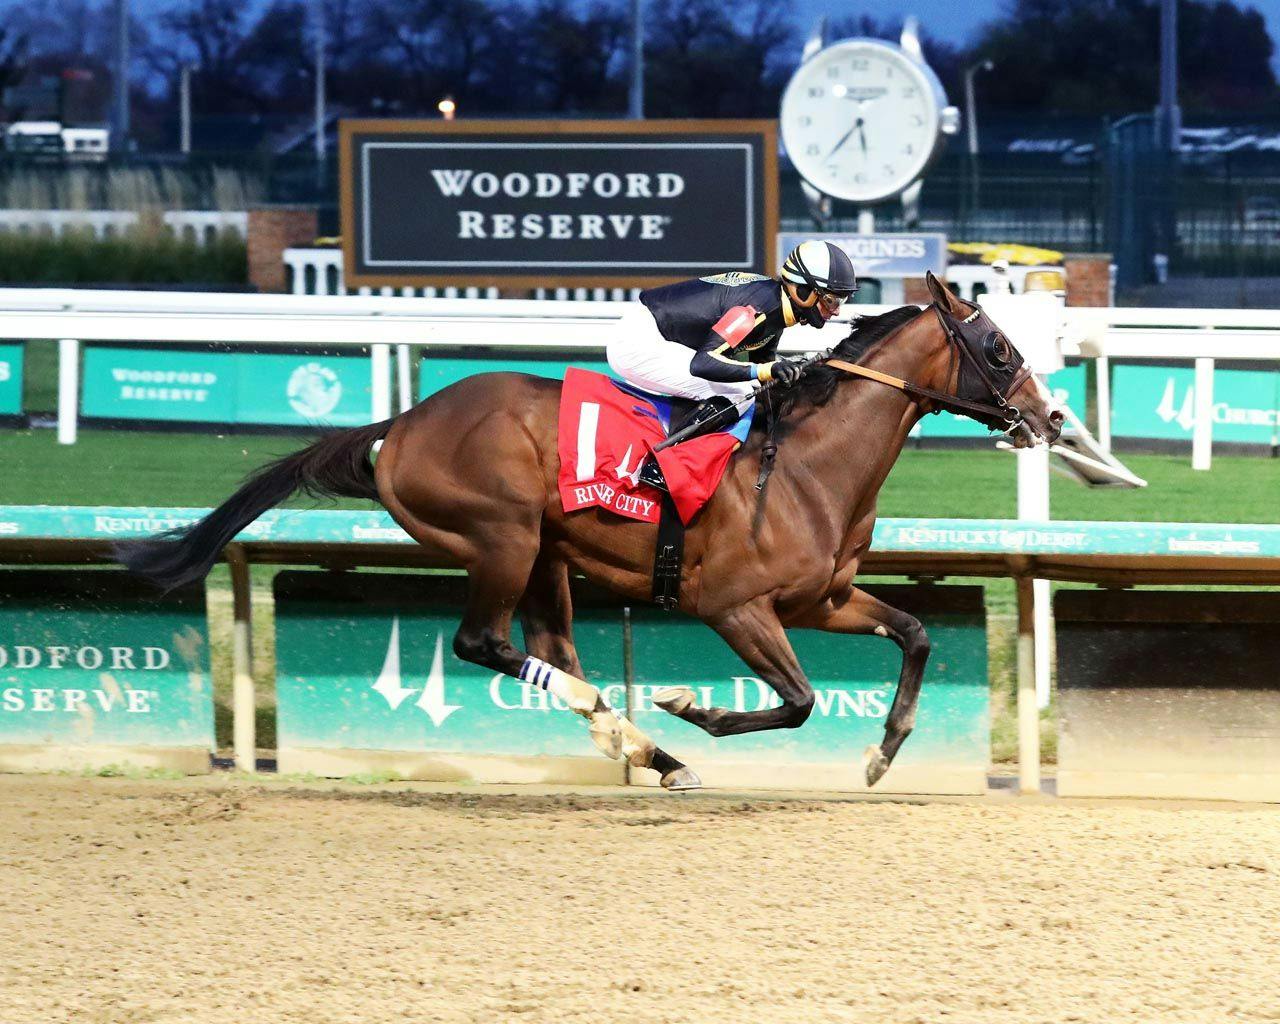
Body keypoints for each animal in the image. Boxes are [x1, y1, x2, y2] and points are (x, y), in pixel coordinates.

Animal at [118, 272, 1063, 792]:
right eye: (998, 348)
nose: (1051, 417)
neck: (805, 463)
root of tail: (404, 423)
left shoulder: (820, 599)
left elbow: (914, 634)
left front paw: (882, 753)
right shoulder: (734, 606)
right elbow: (798, 701)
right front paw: (689, 705)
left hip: (546, 554)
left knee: (546, 647)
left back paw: (639, 744)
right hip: (500, 537)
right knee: (481, 643)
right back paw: (640, 737)